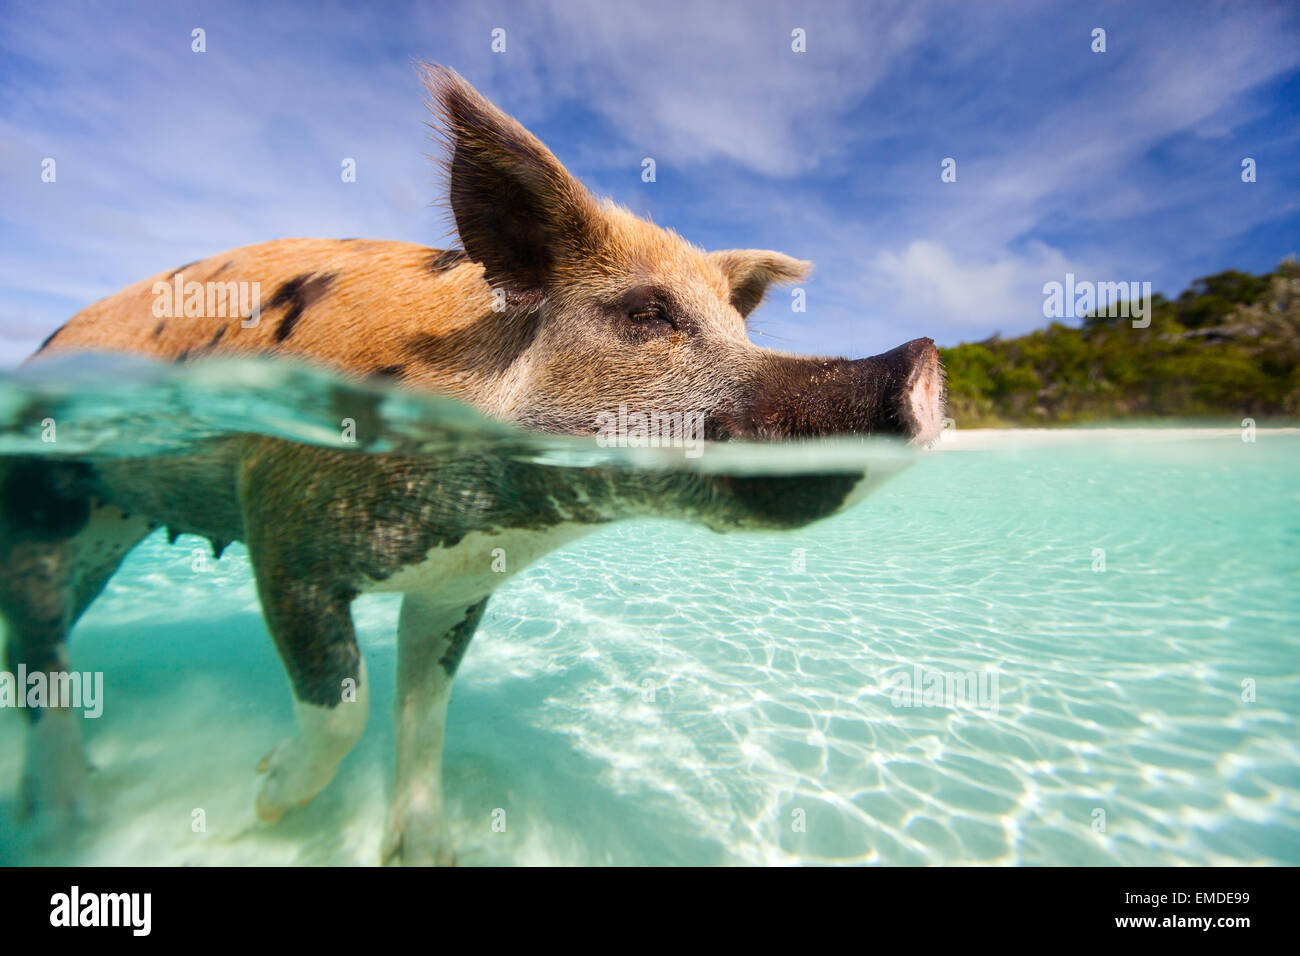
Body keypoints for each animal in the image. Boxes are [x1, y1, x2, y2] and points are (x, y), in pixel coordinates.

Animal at [1, 65, 944, 864]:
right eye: (646, 313)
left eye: (740, 329)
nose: (922, 361)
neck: (502, 508)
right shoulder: (279, 527)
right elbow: (344, 704)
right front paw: (261, 803)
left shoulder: (453, 585)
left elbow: (426, 711)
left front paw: (429, 851)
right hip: (45, 500)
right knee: (44, 645)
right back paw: (74, 815)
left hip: (109, 525)